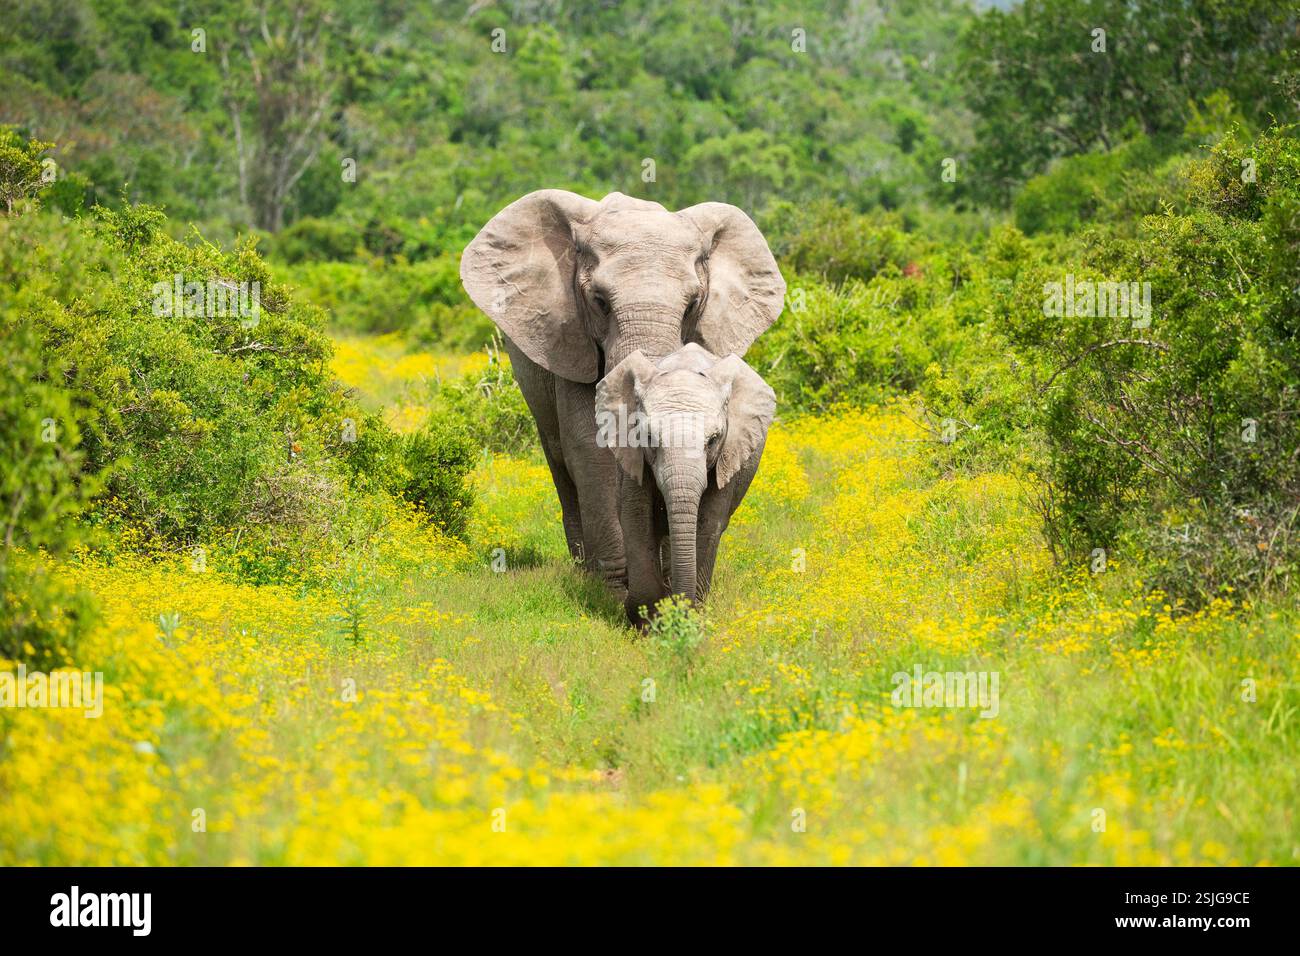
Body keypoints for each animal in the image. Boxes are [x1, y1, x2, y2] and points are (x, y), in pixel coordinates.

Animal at [595, 343, 776, 625]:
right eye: (648, 437)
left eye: (713, 440)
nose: (681, 611)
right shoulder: (632, 456)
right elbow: (636, 519)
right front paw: (647, 621)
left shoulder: (728, 457)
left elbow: (708, 523)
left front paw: (688, 617)